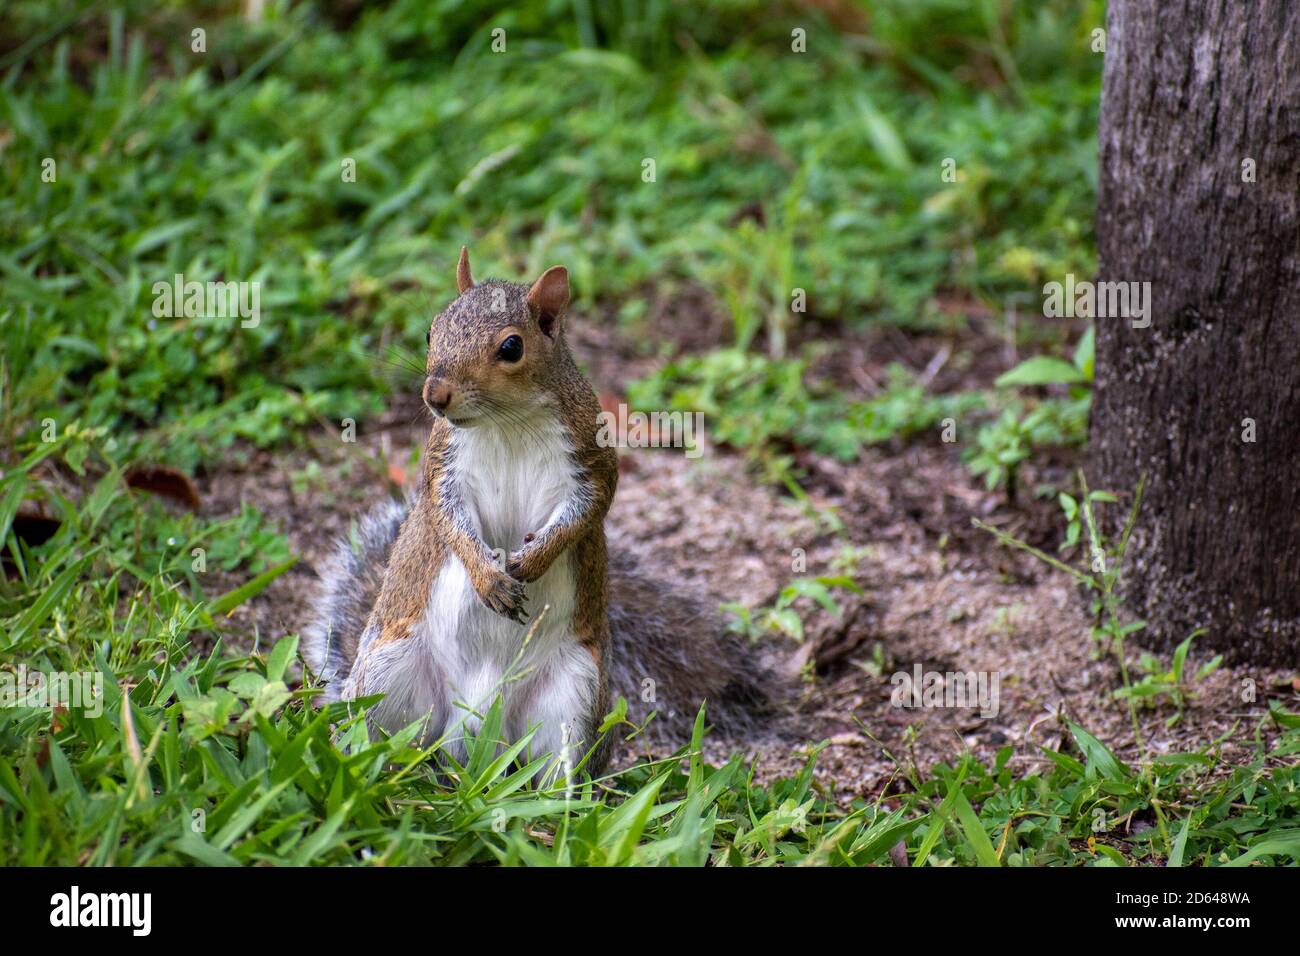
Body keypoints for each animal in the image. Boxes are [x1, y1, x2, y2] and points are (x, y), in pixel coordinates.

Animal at [302, 248, 772, 778]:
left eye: (511, 347)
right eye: (431, 331)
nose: (435, 395)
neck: (506, 421)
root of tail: (476, 737)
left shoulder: (591, 460)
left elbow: (587, 511)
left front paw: (533, 561)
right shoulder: (443, 466)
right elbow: (447, 518)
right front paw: (490, 578)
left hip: (575, 690)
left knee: (558, 766)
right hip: (390, 669)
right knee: (386, 740)